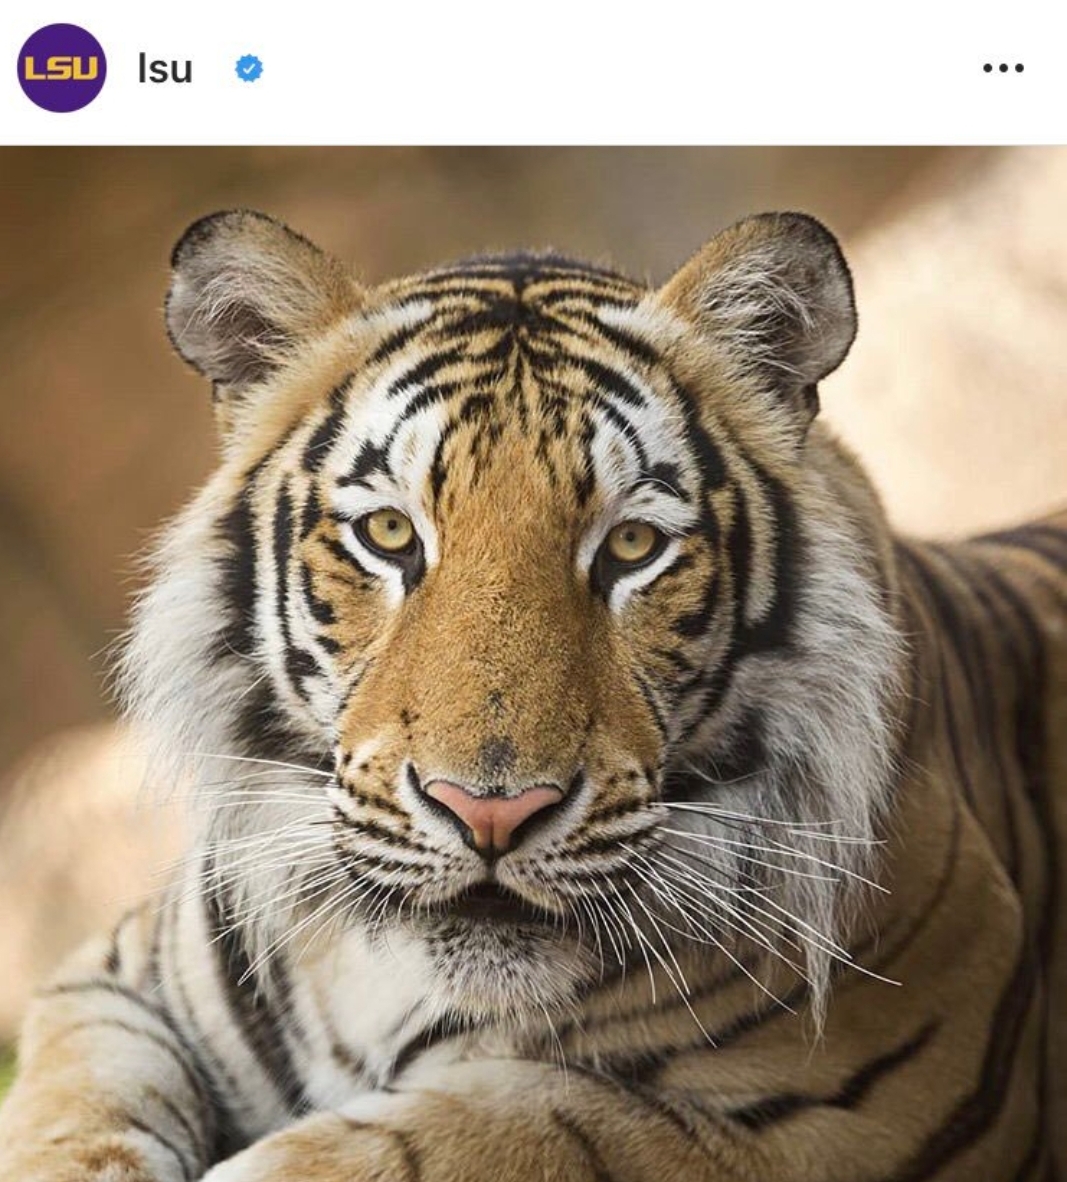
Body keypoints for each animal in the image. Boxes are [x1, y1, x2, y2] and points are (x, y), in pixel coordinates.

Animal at [0, 206, 1064, 1182]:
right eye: (389, 534)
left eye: (631, 546)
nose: (490, 812)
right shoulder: (111, 986)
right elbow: (68, 1121)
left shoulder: (855, 1115)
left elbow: (517, 1127)